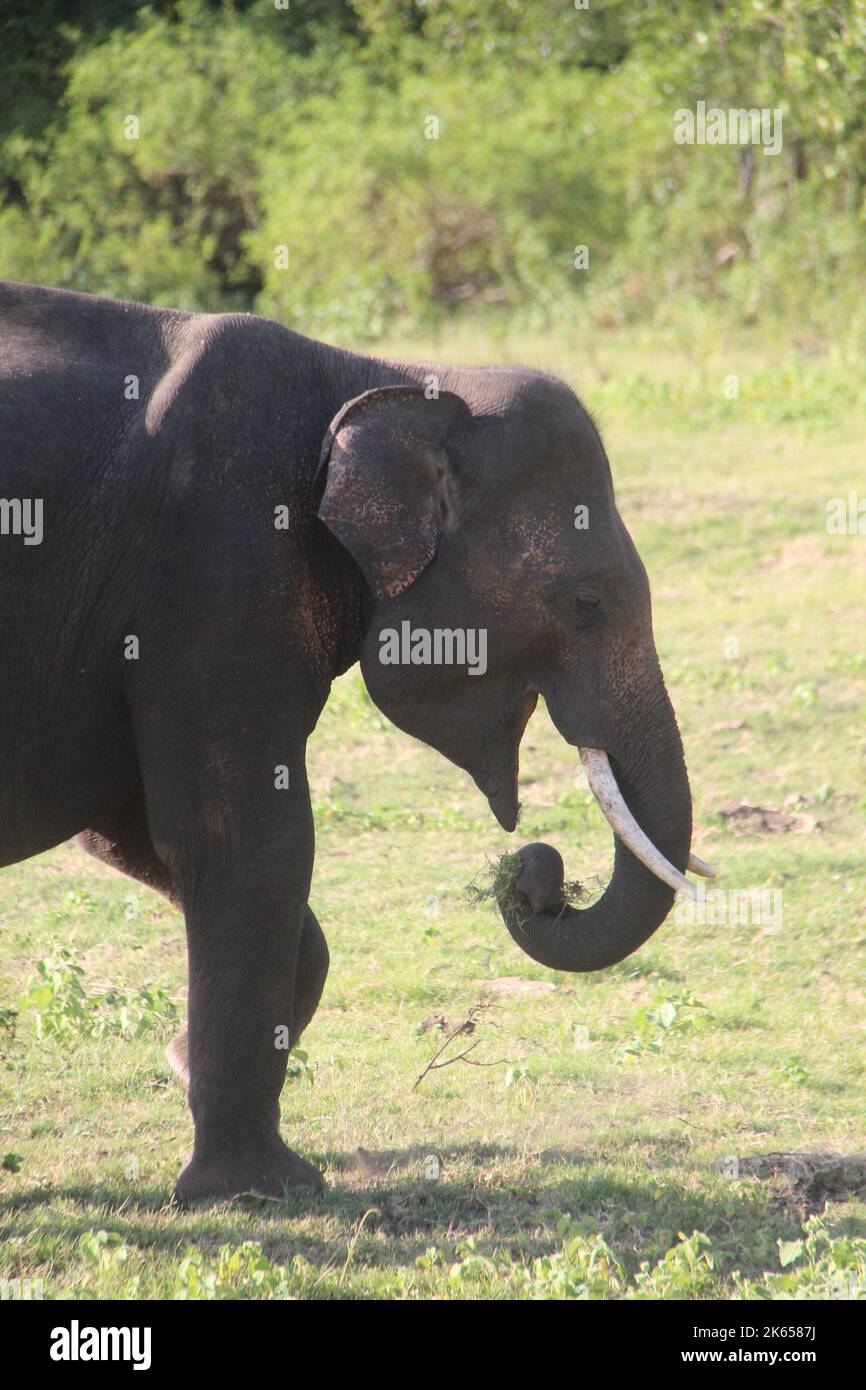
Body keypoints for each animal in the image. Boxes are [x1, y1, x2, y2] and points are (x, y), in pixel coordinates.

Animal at [0, 279, 713, 1202]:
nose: (533, 875)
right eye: (586, 604)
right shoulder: (218, 566)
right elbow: (241, 839)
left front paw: (183, 1068)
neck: (387, 377)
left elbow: (131, 834)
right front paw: (263, 1189)